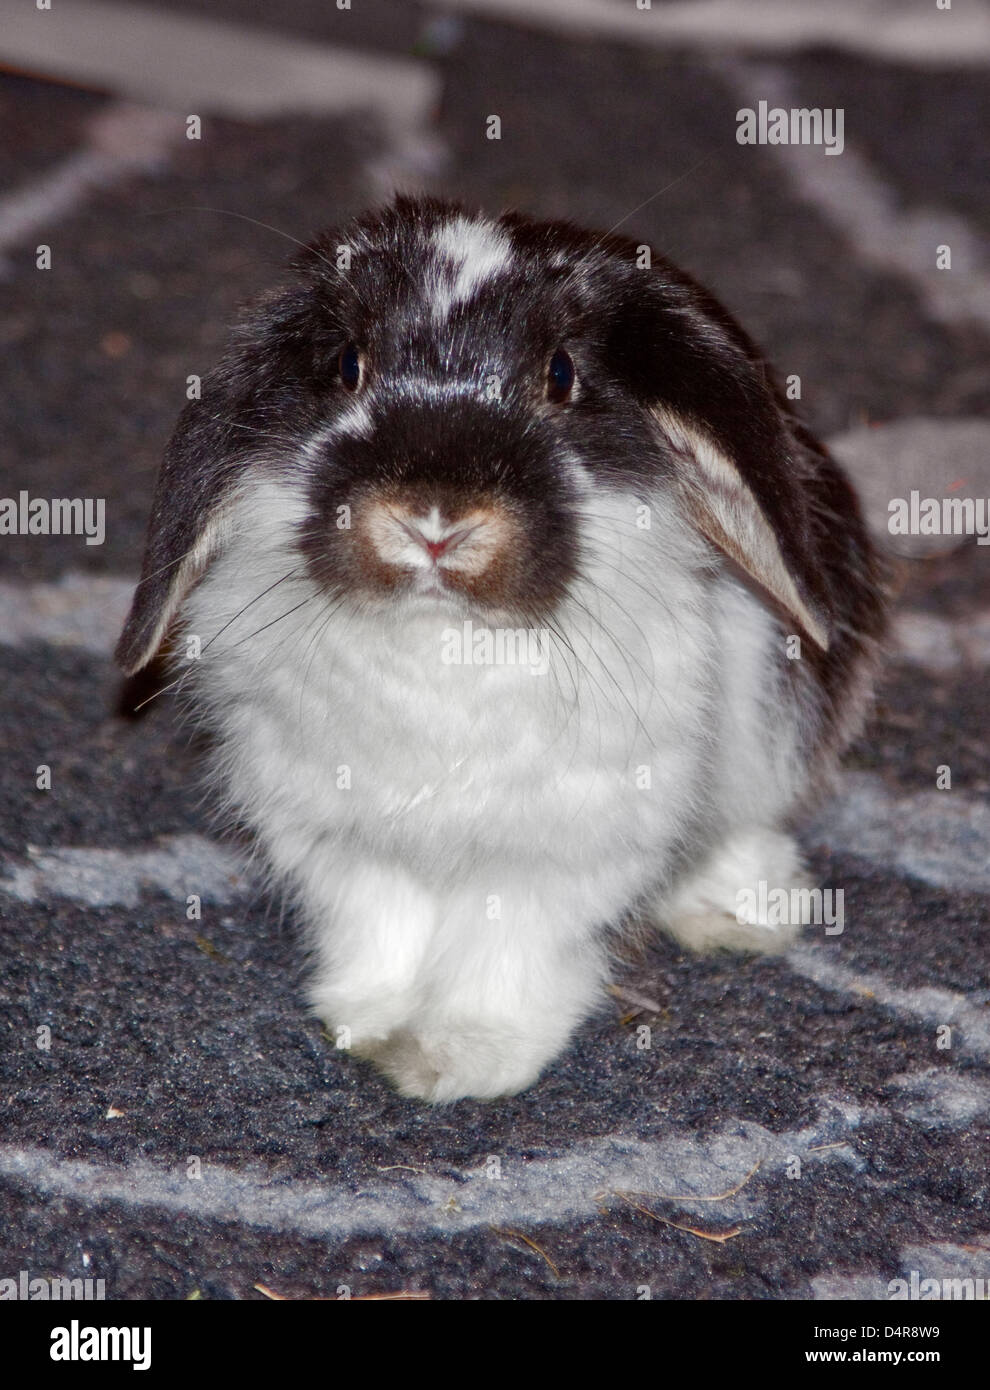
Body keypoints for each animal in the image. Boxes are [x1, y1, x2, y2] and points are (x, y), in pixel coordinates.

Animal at [117, 195, 887, 1102]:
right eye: (347, 364)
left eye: (561, 375)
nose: (435, 520)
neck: (442, 639)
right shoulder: (337, 832)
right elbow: (381, 924)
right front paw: (369, 1023)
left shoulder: (560, 847)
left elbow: (508, 947)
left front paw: (457, 1058)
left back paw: (746, 914)